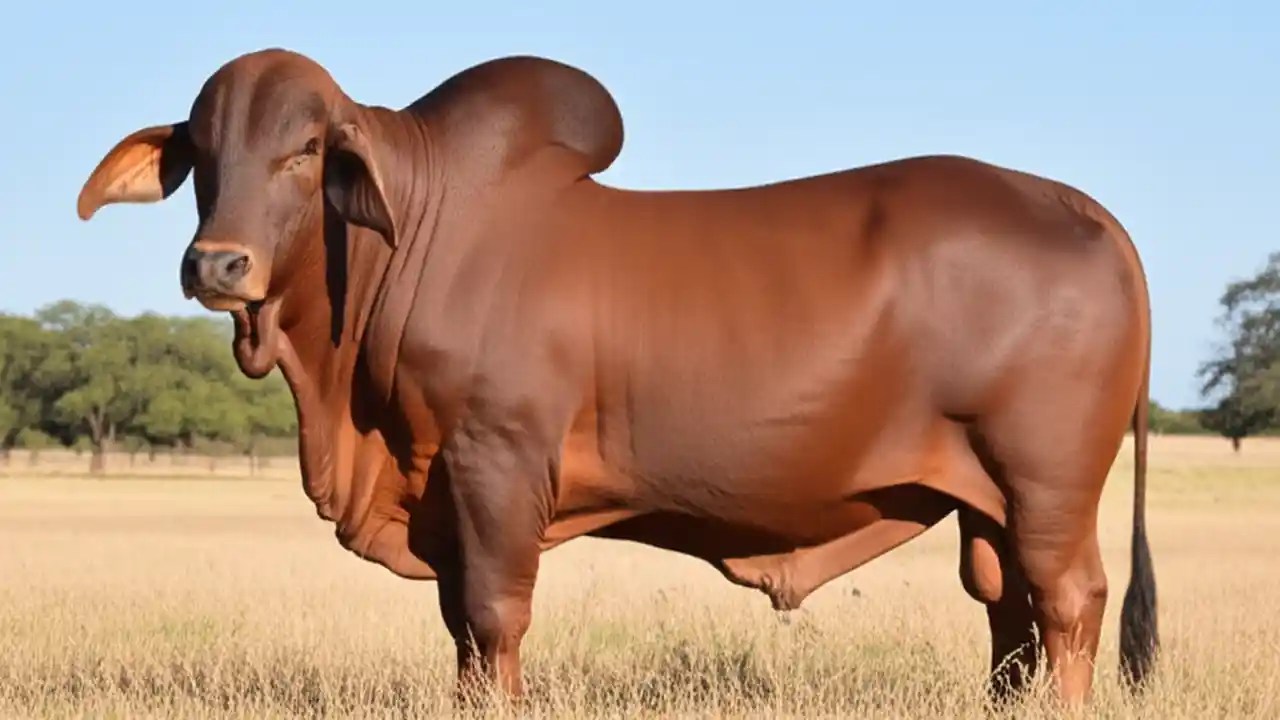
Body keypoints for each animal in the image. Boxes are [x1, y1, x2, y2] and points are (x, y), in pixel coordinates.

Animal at [76, 48, 1157, 707]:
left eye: (304, 150)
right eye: (202, 155)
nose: (218, 265)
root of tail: (1078, 207)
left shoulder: (496, 463)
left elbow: (494, 619)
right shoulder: (443, 490)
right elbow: (460, 633)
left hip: (1047, 486)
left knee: (1067, 605)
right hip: (987, 503)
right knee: (1007, 613)